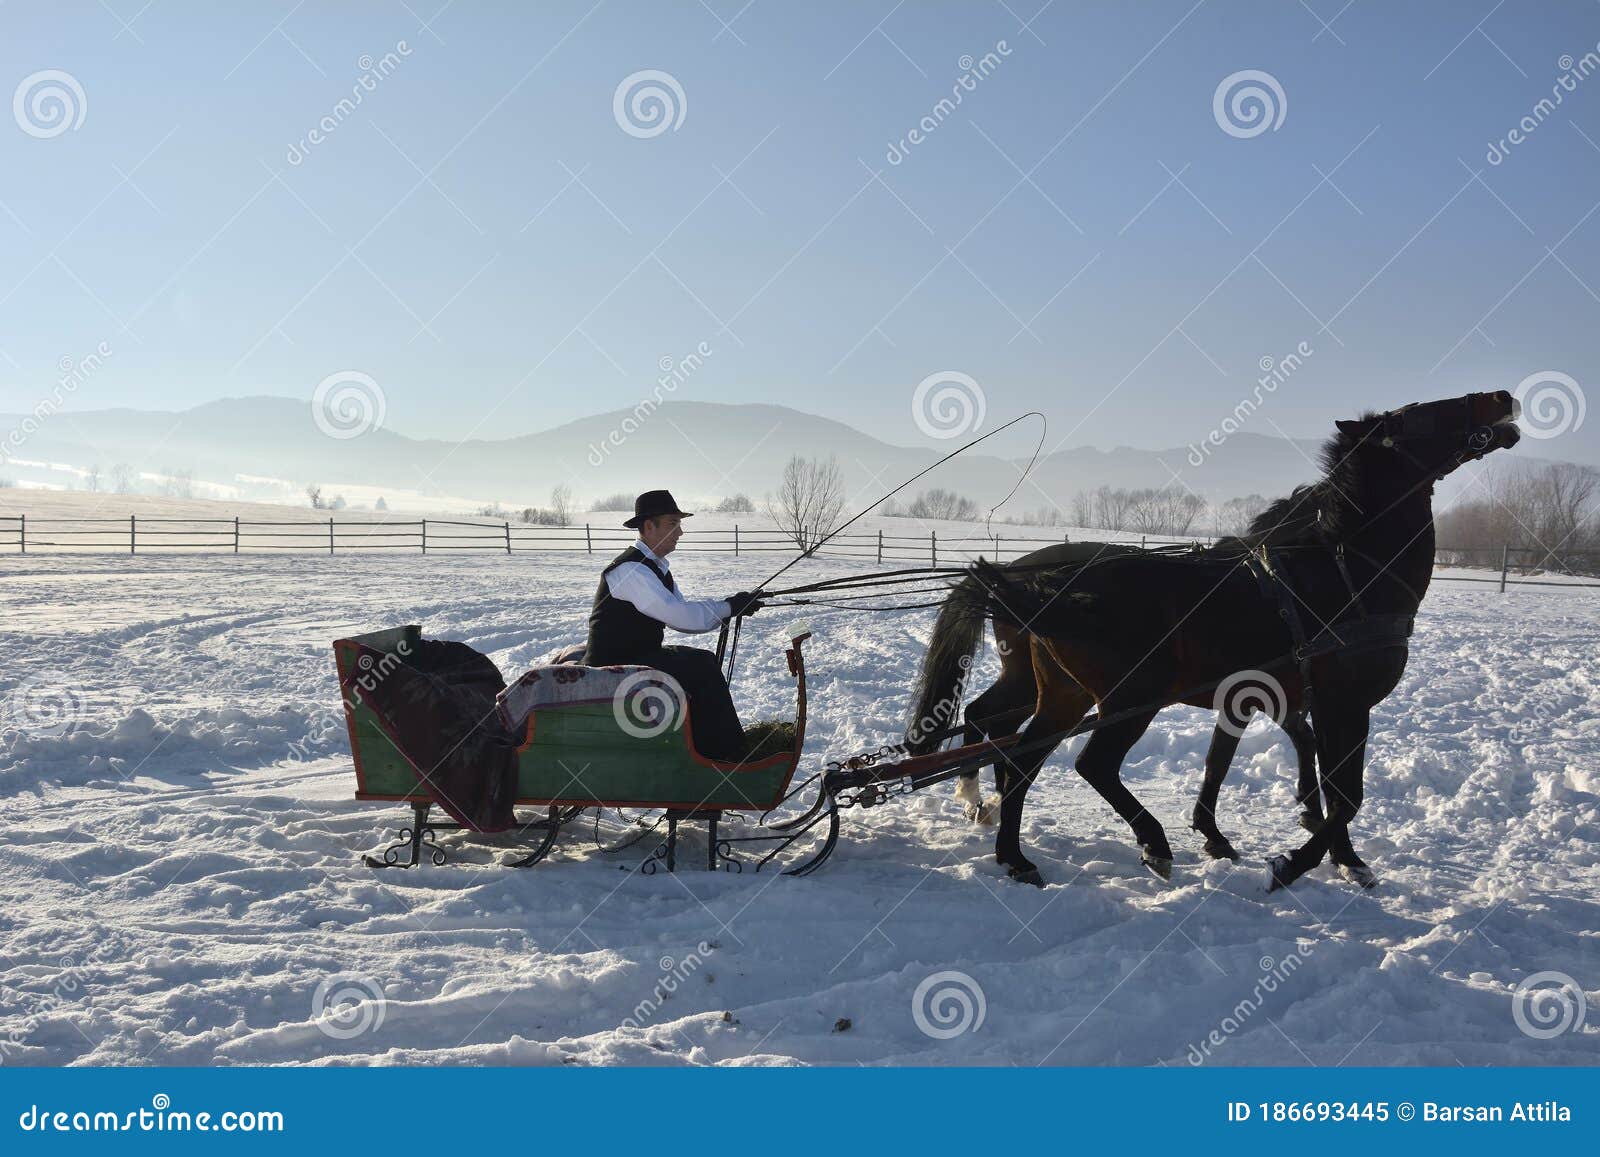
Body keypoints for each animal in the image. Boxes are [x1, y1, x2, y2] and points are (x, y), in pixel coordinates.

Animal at [927, 540, 1322, 863]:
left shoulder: (1266, 694)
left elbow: (1260, 749)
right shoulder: (1256, 692)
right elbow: (1232, 757)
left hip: (1044, 689)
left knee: (993, 722)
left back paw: (987, 806)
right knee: (1020, 732)